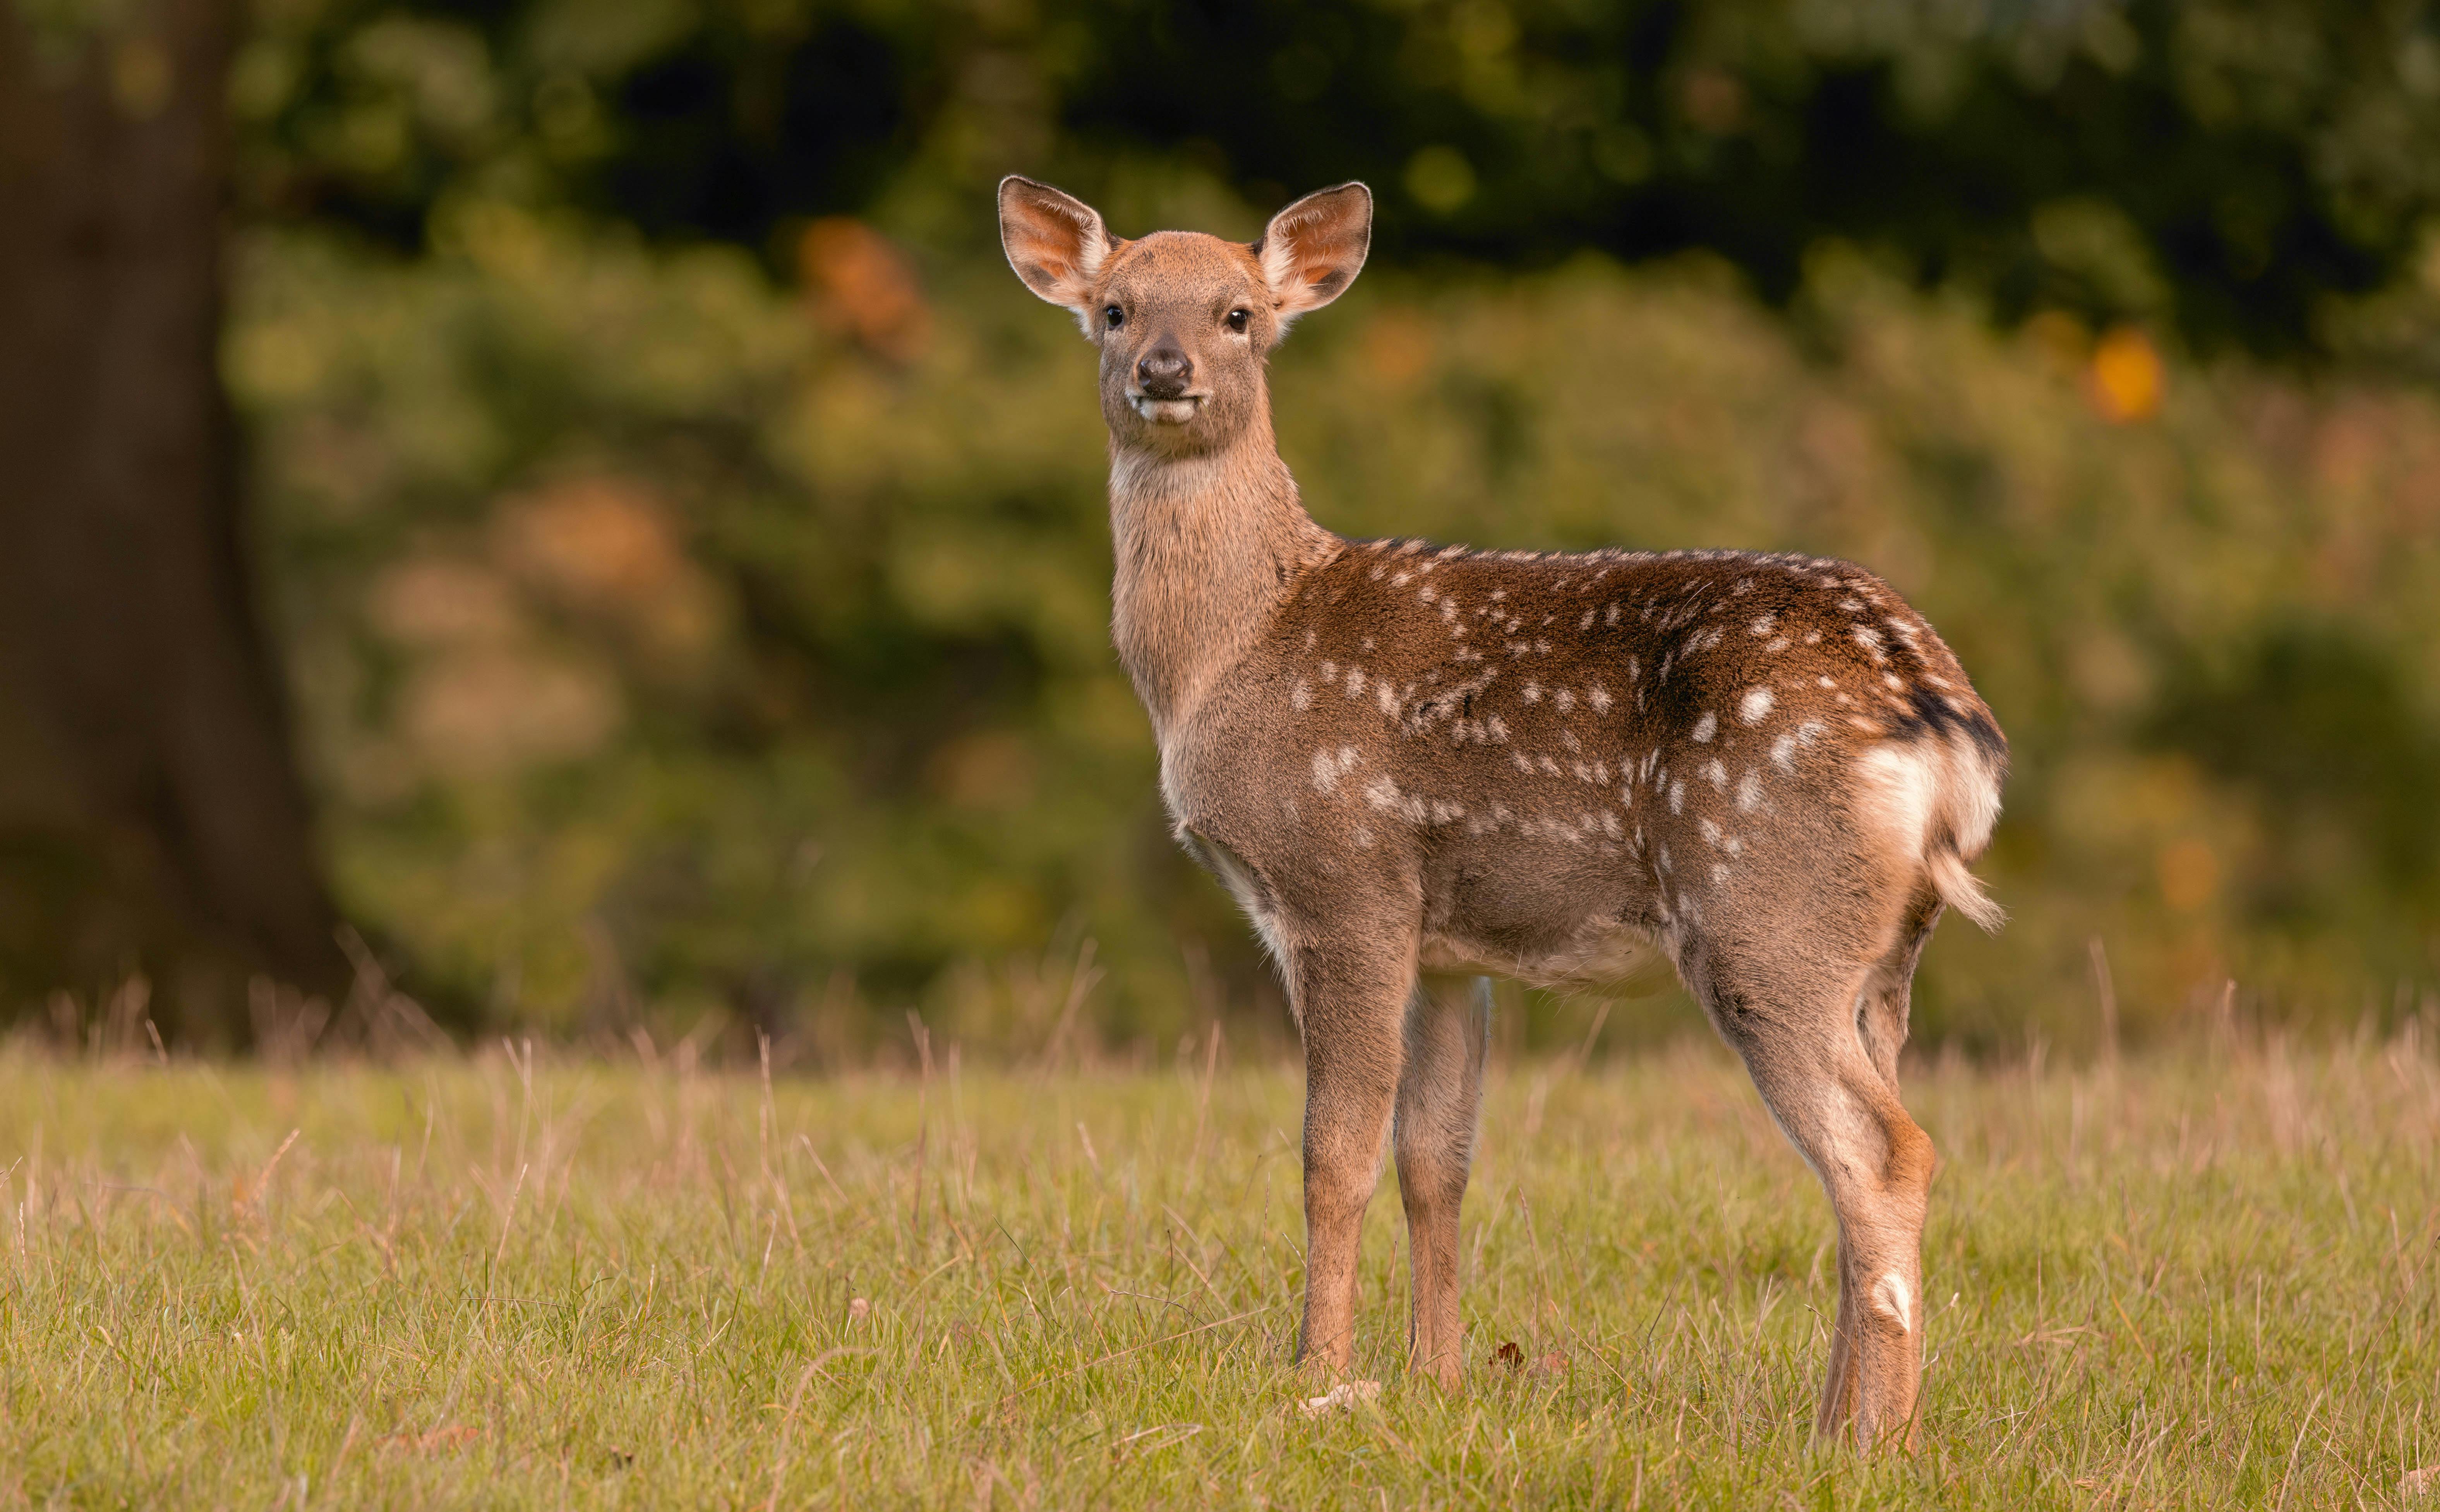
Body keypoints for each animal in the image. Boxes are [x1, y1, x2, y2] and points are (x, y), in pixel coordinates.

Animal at [997, 174, 2006, 1450]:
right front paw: (1436, 1376)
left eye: (1239, 315)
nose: (1164, 369)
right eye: (1116, 308)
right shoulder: (1448, 946)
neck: (1228, 653)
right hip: (1880, 957)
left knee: (1885, 1153)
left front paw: (1316, 1371)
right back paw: (1837, 1423)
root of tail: (1942, 720)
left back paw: (1876, 1444)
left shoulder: (1343, 882)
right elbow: (1437, 1157)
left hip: (1763, 914)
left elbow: (1333, 1155)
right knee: (1856, 1159)